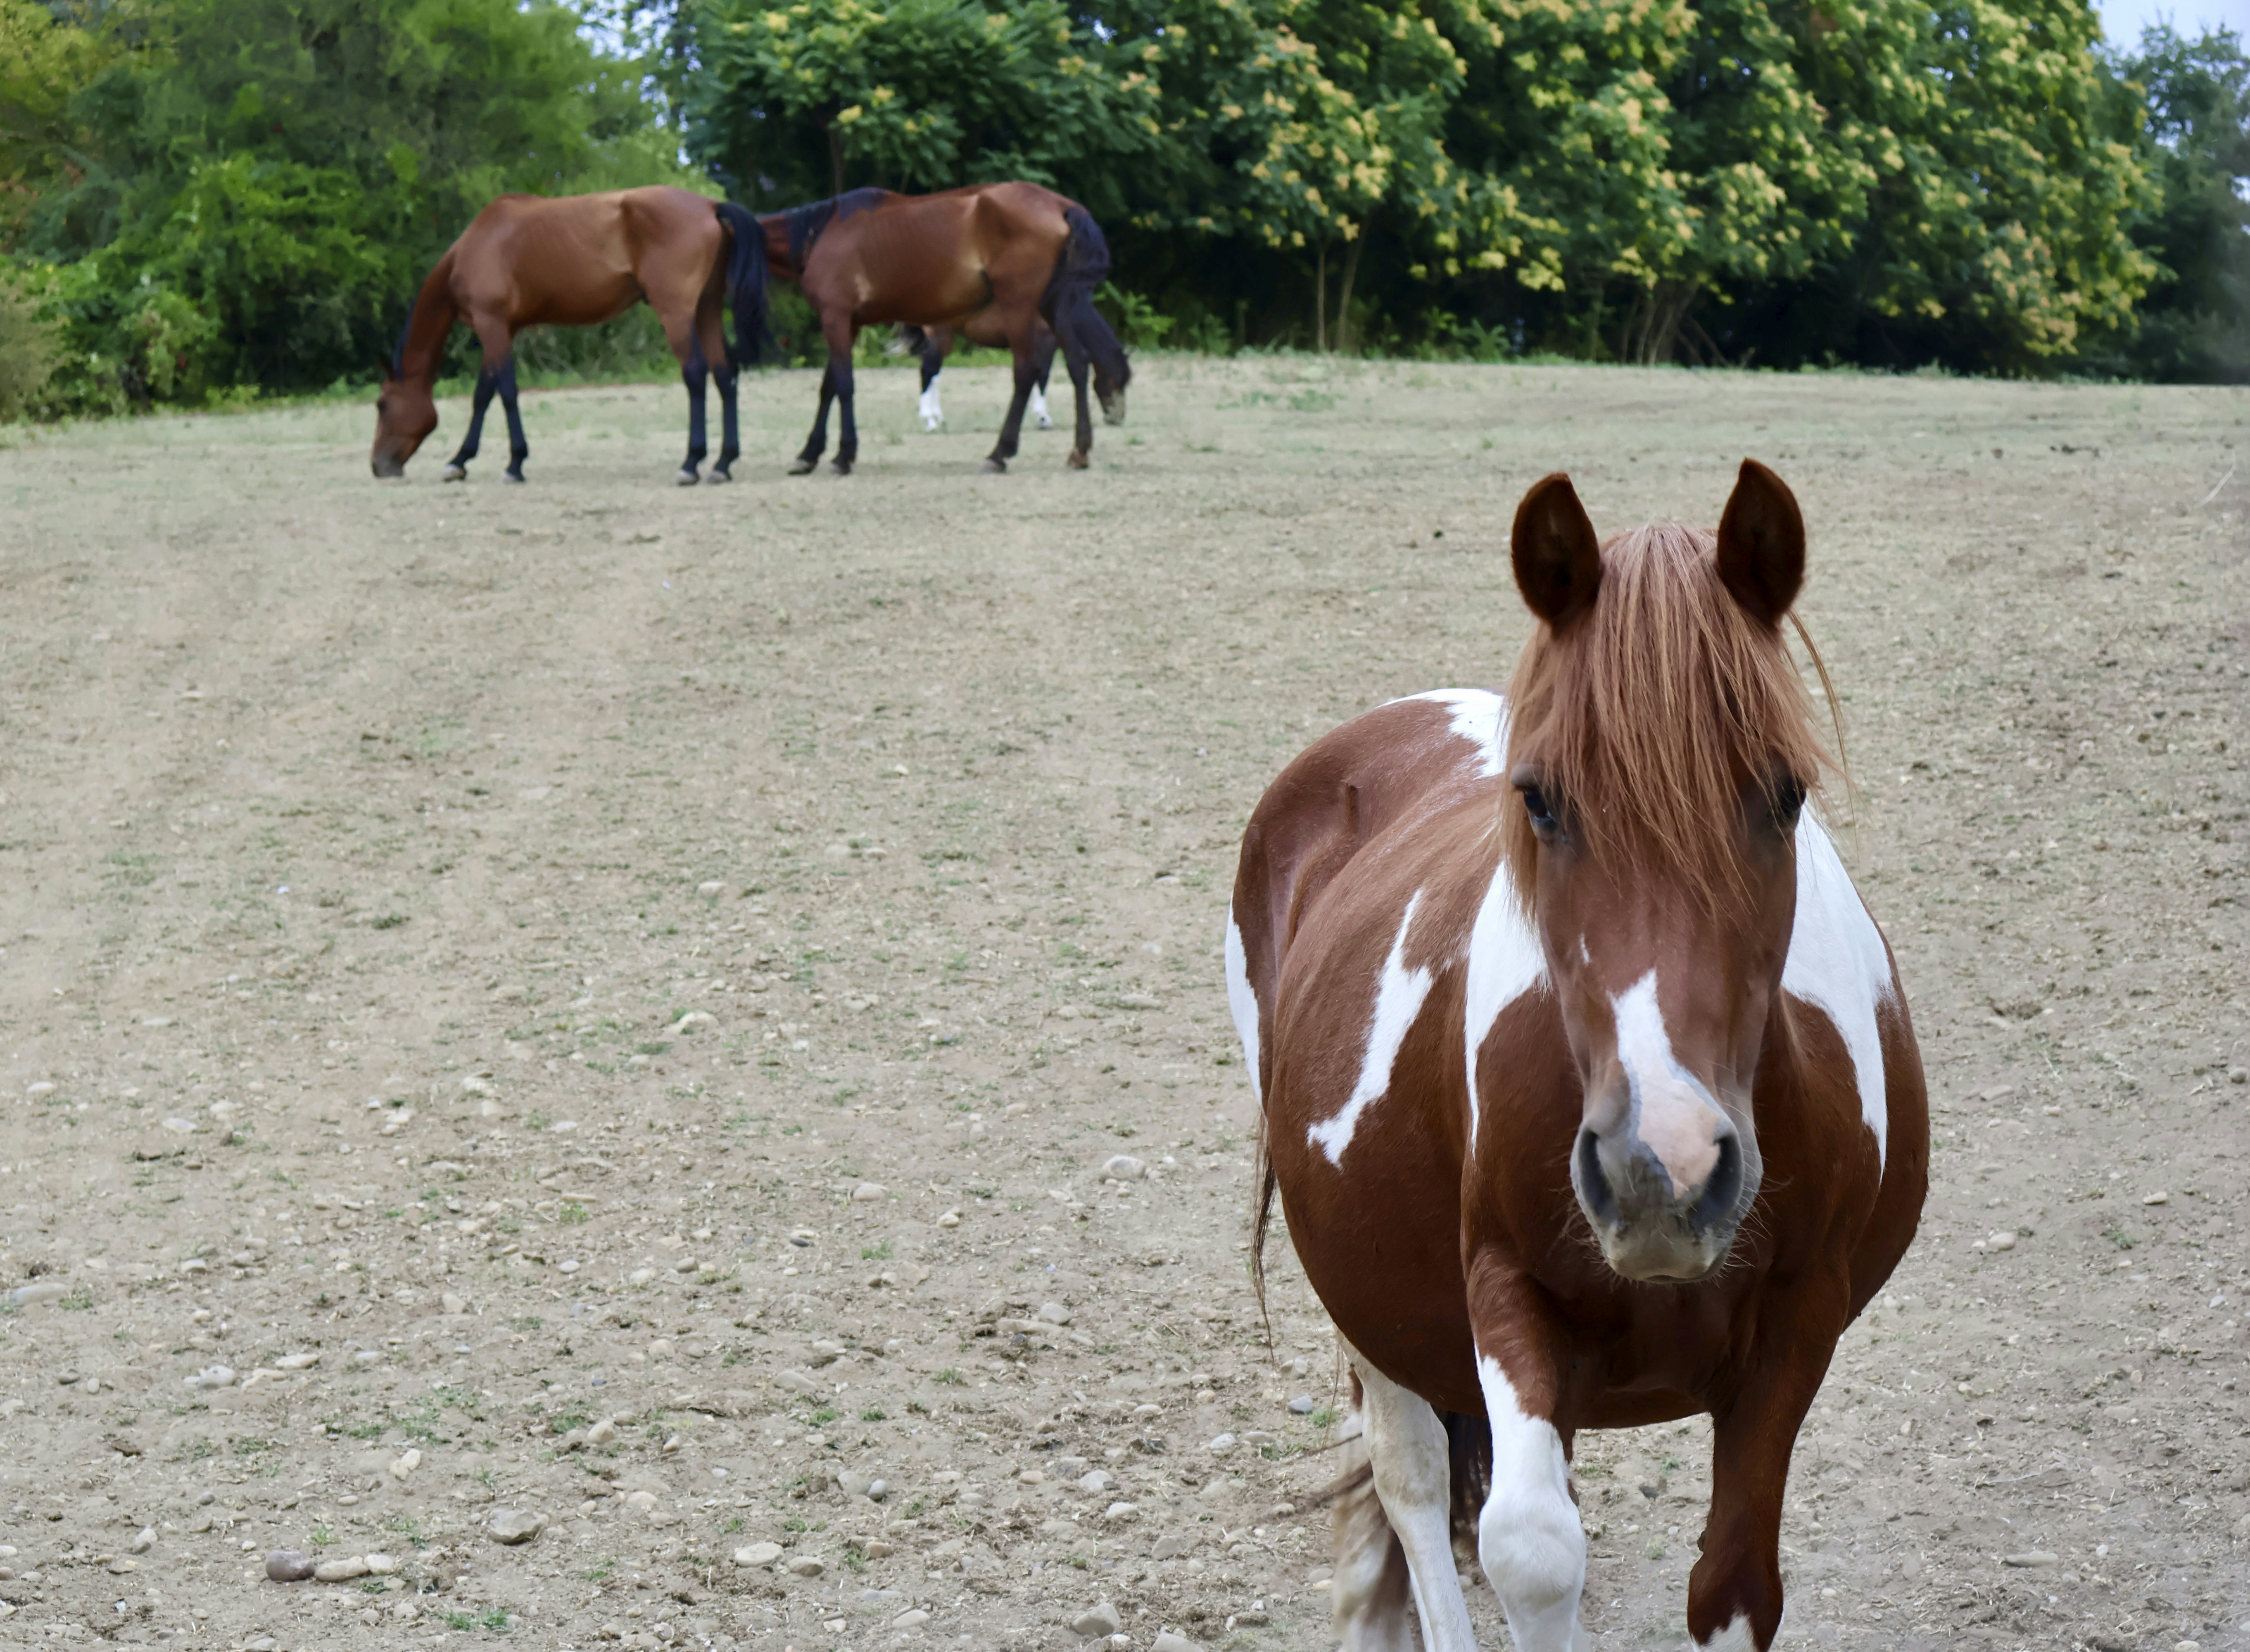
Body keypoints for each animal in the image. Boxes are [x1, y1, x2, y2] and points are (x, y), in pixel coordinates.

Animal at [370, 187, 771, 486]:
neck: (476, 245)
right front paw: (460, 461)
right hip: (707, 310)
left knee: (696, 374)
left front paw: (514, 464)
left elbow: (506, 392)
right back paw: (723, 463)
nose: (378, 466)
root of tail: (709, 206)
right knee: (725, 375)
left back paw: (691, 463)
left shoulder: (491, 324)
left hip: (677, 313)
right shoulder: (502, 329)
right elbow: (484, 394)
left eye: (382, 405)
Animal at [898, 321, 1058, 433]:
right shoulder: (1046, 337)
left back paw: (937, 418)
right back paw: (930, 420)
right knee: (928, 372)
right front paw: (1043, 417)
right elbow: (1043, 375)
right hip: (938, 337)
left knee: (934, 375)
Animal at [1226, 461, 1927, 1652]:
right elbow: (1529, 1548)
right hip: (1361, 1294)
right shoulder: (1503, 1291)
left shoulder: (1798, 1322)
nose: (1660, 1170)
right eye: (1540, 799)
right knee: (1413, 1484)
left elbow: (1733, 1581)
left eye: (1782, 792)